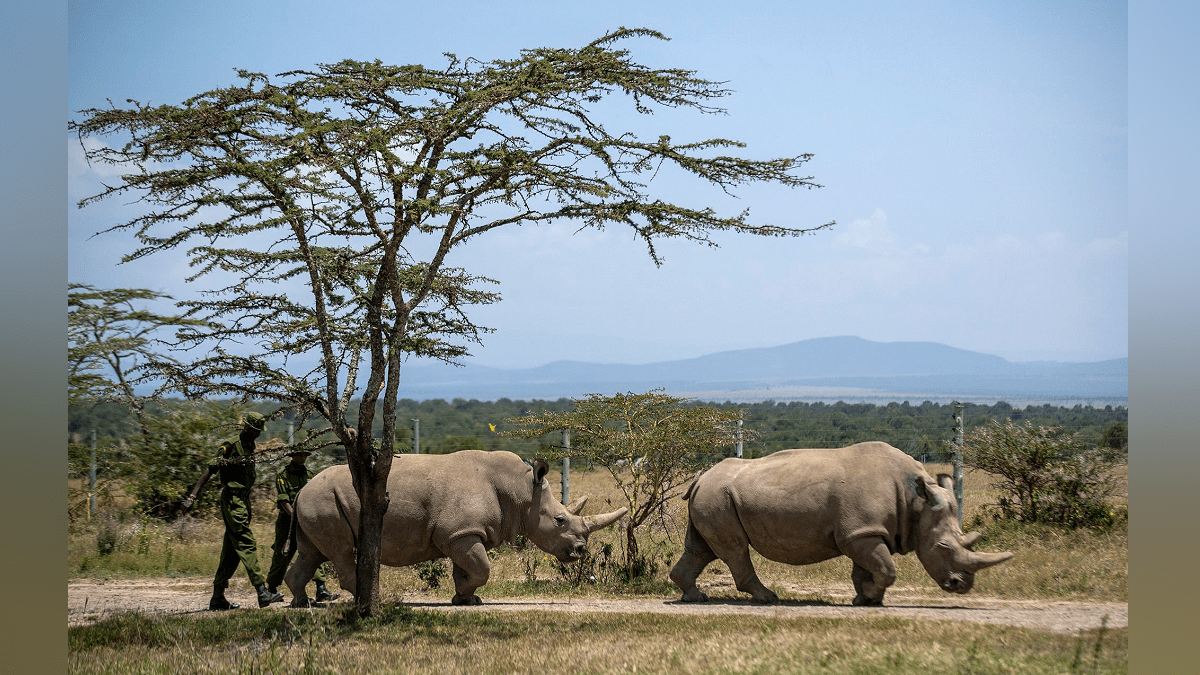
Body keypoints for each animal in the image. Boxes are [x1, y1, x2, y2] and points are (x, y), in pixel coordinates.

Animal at [284, 450, 627, 606]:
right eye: (560, 520)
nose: (580, 551)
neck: (520, 491)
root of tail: (302, 489)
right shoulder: (460, 533)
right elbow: (483, 568)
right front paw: (465, 597)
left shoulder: (462, 533)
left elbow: (468, 569)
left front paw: (465, 600)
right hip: (324, 500)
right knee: (340, 551)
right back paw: (372, 601)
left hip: (317, 501)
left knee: (311, 553)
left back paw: (302, 603)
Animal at [669, 442, 1013, 606]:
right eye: (943, 546)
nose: (960, 586)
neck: (916, 502)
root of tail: (701, 478)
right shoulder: (861, 533)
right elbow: (887, 569)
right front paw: (870, 597)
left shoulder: (865, 531)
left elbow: (868, 569)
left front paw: (866, 600)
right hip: (718, 496)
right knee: (735, 549)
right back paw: (767, 598)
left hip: (715, 496)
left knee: (703, 549)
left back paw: (695, 597)